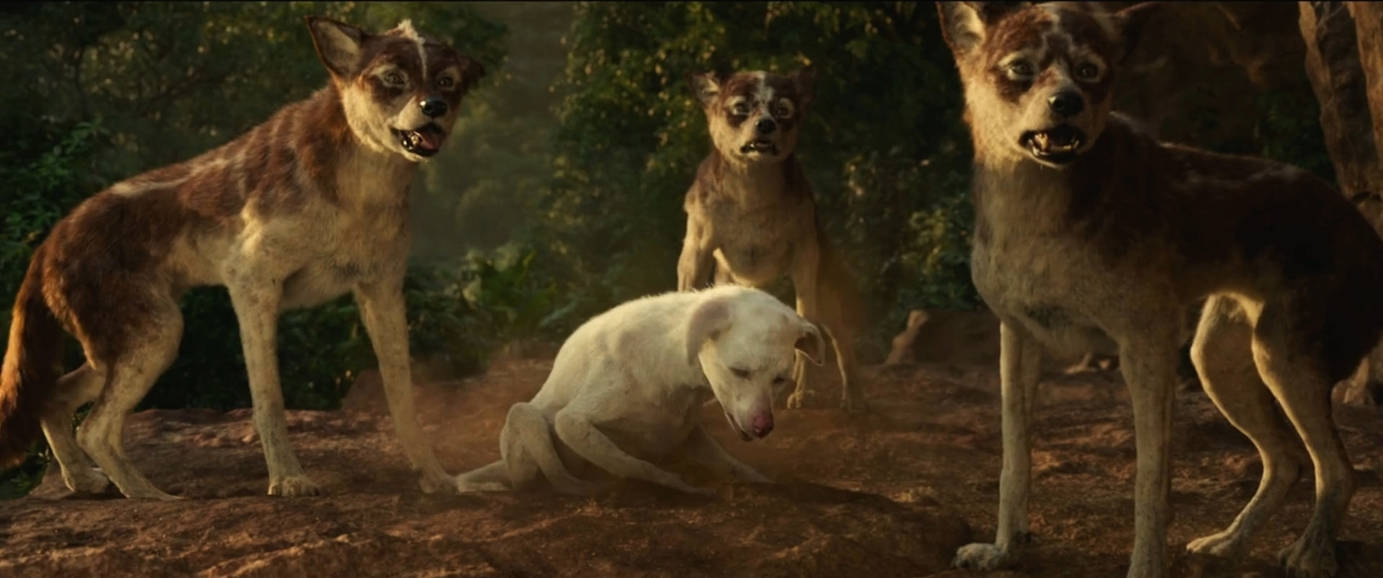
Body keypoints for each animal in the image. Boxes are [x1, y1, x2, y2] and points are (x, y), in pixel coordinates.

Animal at [0, 16, 484, 499]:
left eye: (446, 81)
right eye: (393, 79)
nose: (434, 106)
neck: (362, 186)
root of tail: (48, 243)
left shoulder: (381, 291)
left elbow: (403, 400)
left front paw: (436, 478)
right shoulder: (252, 284)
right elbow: (269, 400)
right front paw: (288, 479)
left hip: (127, 352)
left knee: (53, 398)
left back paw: (83, 480)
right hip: (157, 339)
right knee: (95, 429)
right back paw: (153, 498)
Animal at [679, 68, 865, 412]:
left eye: (783, 110)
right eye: (740, 107)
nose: (765, 124)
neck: (751, 196)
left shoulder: (805, 258)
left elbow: (809, 330)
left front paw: (804, 392)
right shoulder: (695, 251)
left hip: (825, 290)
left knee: (840, 338)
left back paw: (854, 396)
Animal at [937, 2, 1383, 577]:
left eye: (1089, 71)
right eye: (1021, 68)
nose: (1067, 103)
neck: (1036, 215)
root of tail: (1365, 229)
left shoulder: (1144, 346)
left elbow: (1150, 486)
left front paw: (1145, 567)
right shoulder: (1018, 340)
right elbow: (1013, 466)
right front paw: (1002, 551)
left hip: (1283, 362)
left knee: (1337, 469)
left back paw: (1307, 553)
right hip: (1217, 360)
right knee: (1288, 462)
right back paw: (1228, 544)